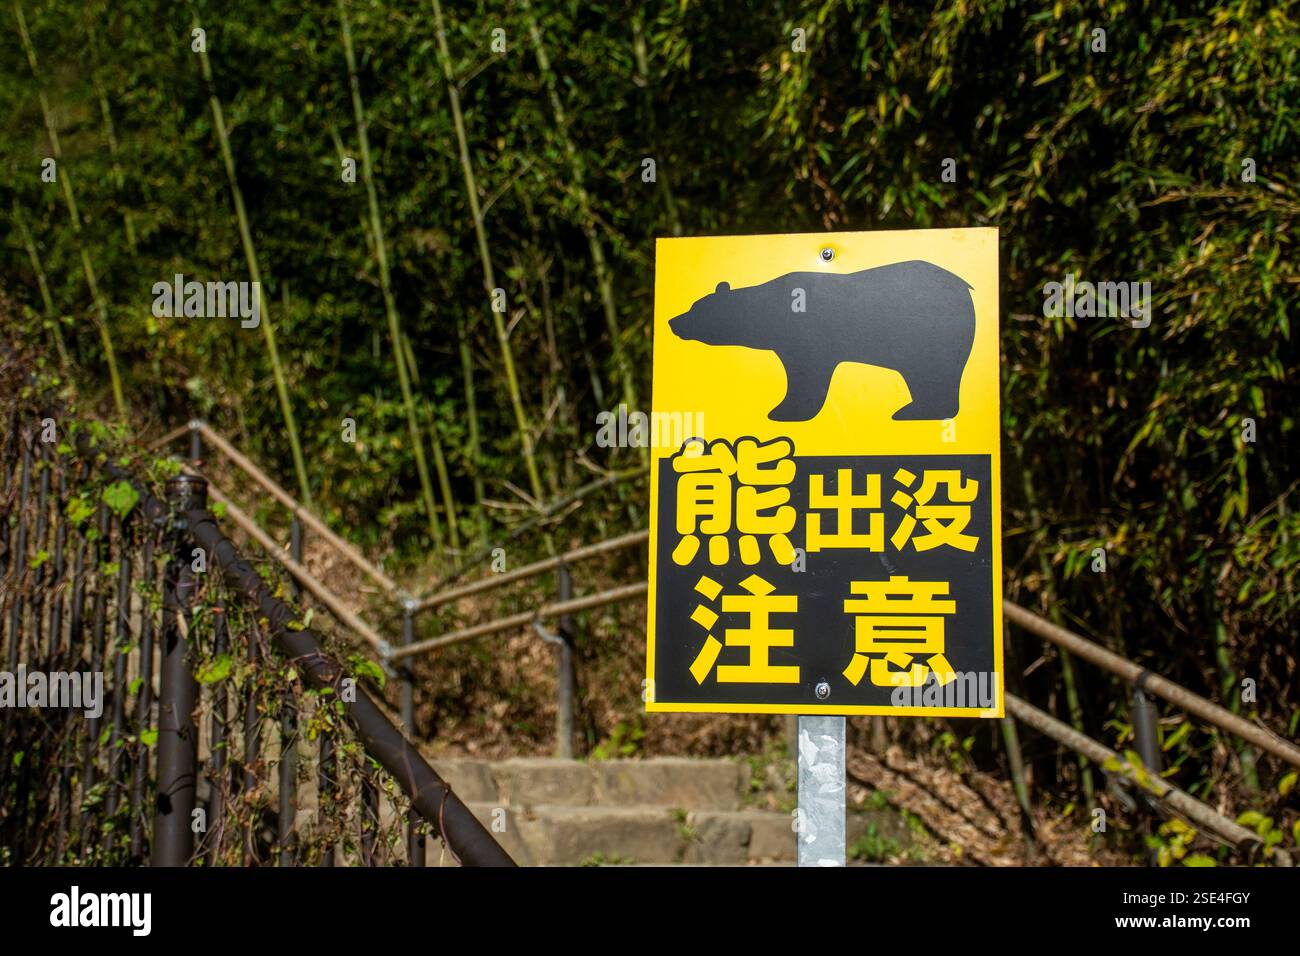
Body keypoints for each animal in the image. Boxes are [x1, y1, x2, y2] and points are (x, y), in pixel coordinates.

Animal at [668, 259, 976, 422]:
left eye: (696, 308)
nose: (672, 321)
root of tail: (965, 287)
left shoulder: (807, 339)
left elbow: (807, 377)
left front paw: (782, 412)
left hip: (933, 334)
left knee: (934, 373)